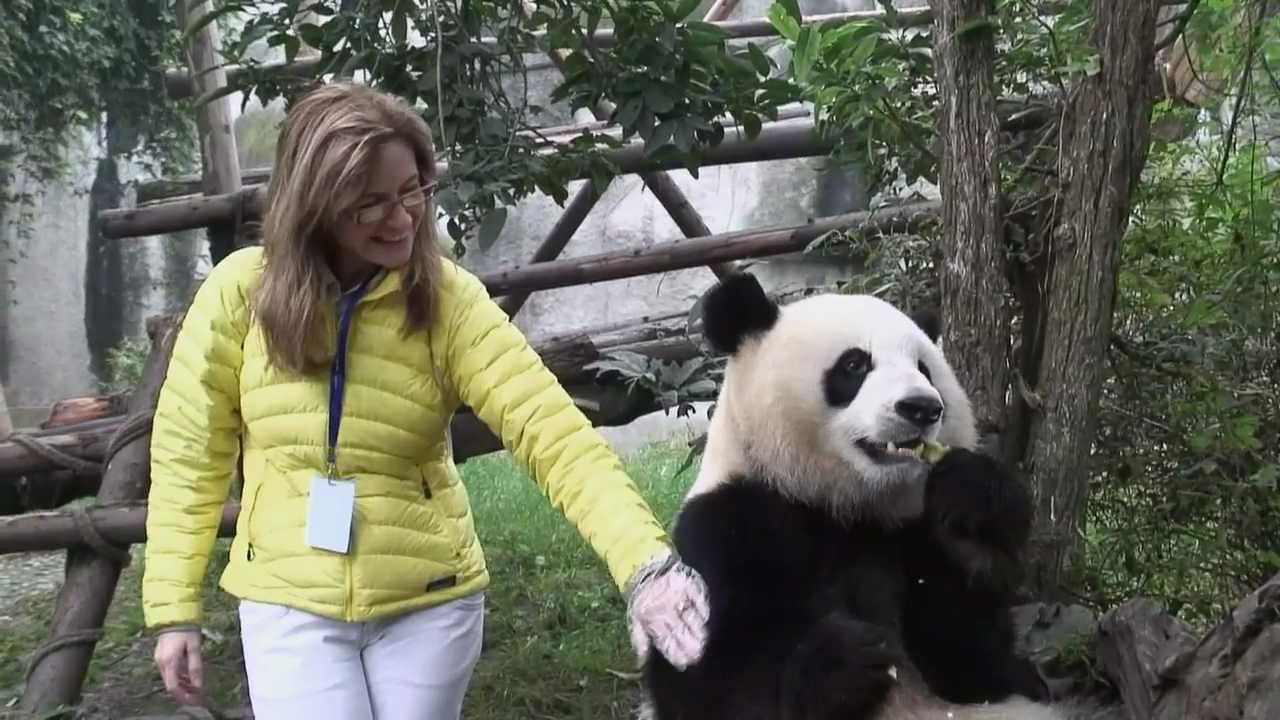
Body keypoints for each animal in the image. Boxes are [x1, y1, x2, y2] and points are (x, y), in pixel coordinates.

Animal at [638, 272, 1118, 720]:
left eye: (925, 368)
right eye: (854, 364)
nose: (922, 407)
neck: (850, 504)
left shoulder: (908, 529)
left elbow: (978, 664)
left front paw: (970, 507)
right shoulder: (732, 522)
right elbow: (711, 684)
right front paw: (842, 661)